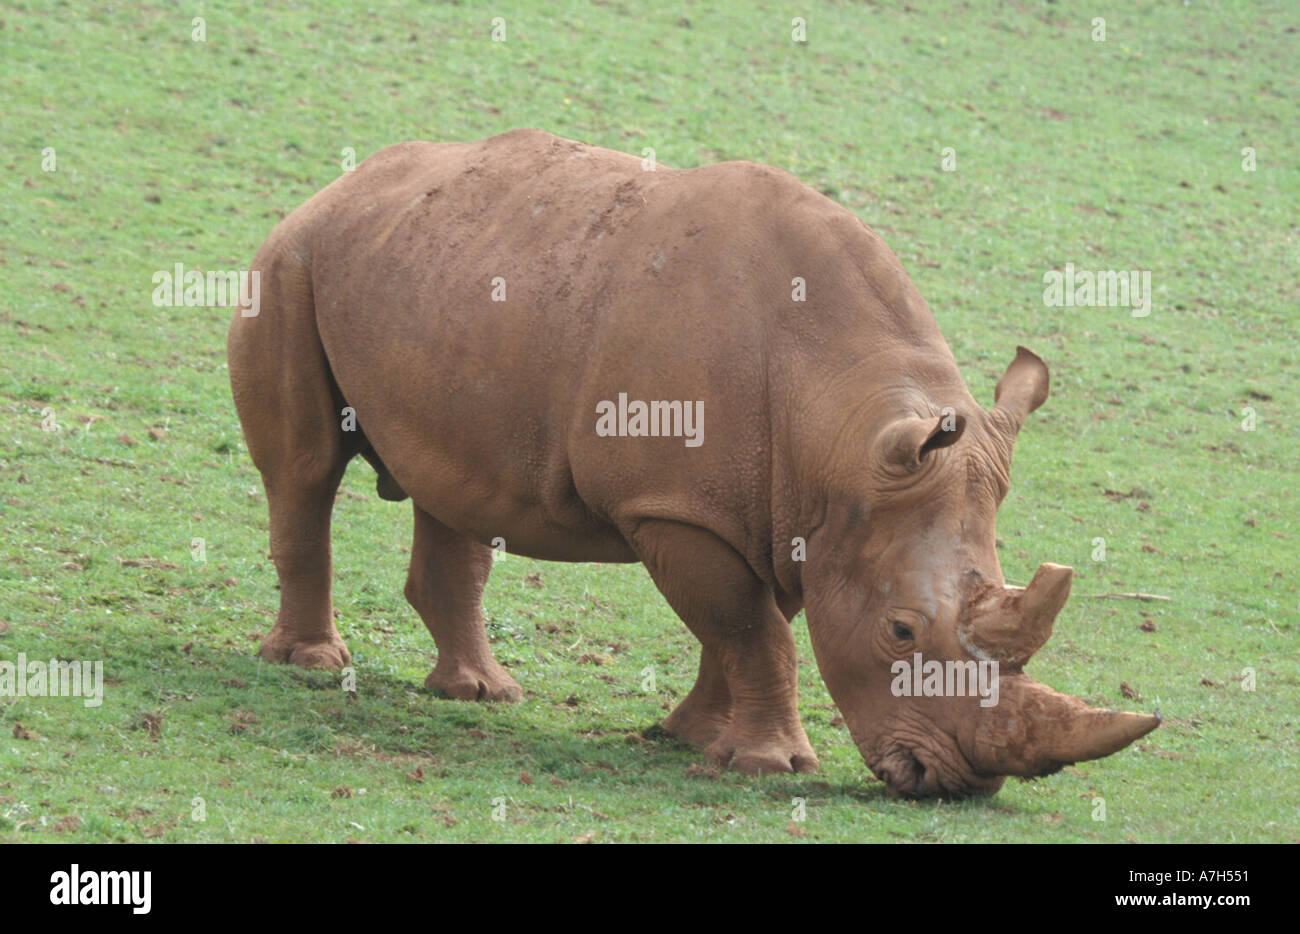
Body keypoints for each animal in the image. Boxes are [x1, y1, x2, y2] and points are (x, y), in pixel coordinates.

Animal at [227, 129, 1159, 798]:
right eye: (900, 633)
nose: (953, 784)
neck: (843, 424)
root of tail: (338, 188)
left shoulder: (777, 510)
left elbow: (747, 626)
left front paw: (693, 741)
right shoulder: (675, 504)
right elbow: (751, 628)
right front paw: (775, 767)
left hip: (430, 268)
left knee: (453, 489)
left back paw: (481, 695)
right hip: (292, 264)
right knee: (306, 469)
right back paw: (314, 666)